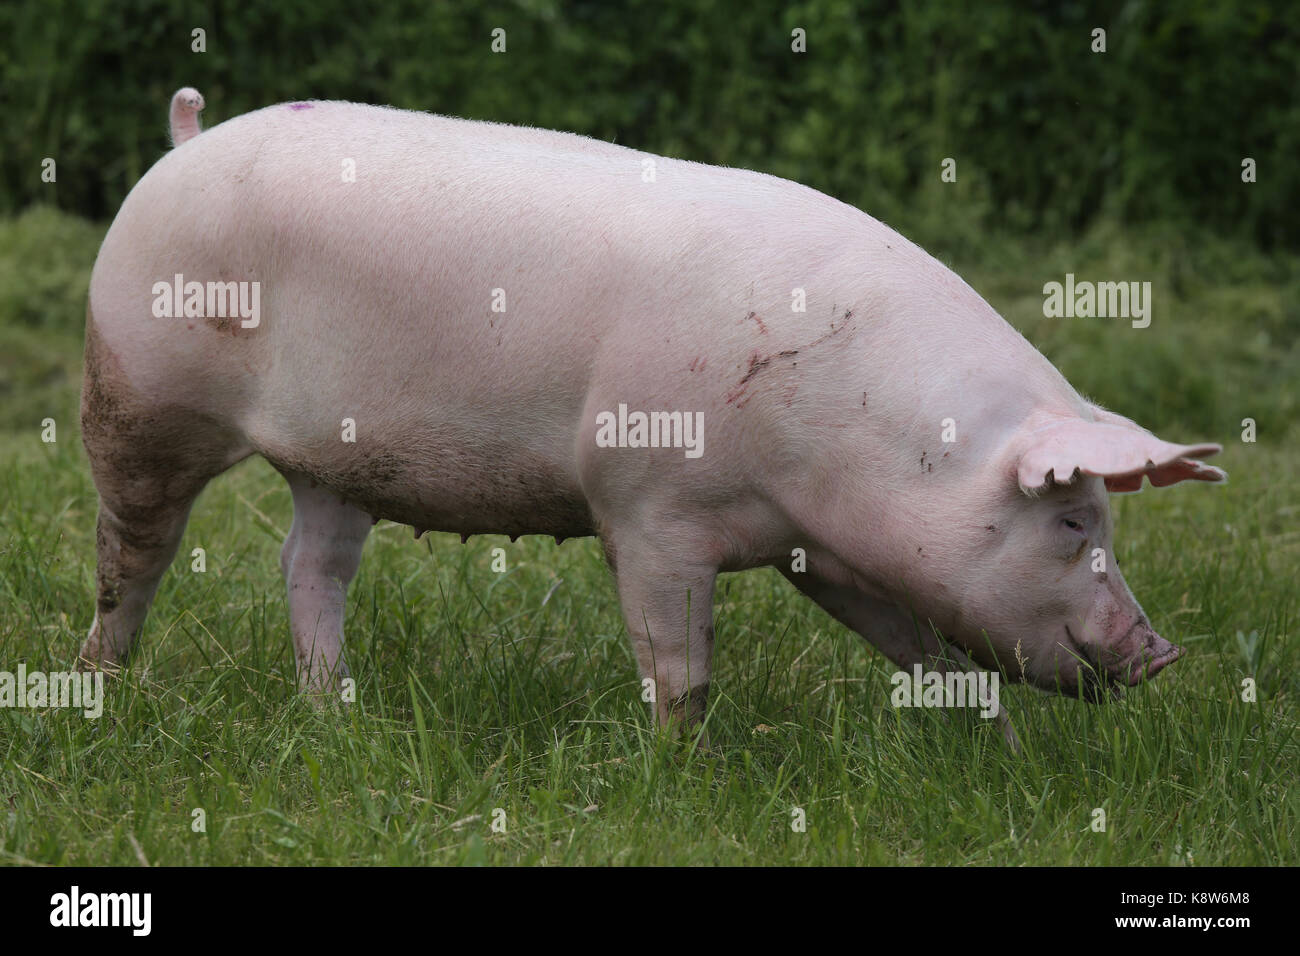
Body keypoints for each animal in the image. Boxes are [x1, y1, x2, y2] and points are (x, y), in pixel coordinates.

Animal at [77, 89, 1226, 743]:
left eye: (1101, 518)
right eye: (1071, 520)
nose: (1163, 652)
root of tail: (179, 146)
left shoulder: (836, 552)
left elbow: (924, 650)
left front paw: (992, 745)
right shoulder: (646, 508)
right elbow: (678, 661)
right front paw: (680, 763)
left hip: (335, 462)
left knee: (307, 567)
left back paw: (335, 716)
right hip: (136, 389)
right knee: (134, 552)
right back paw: (99, 687)